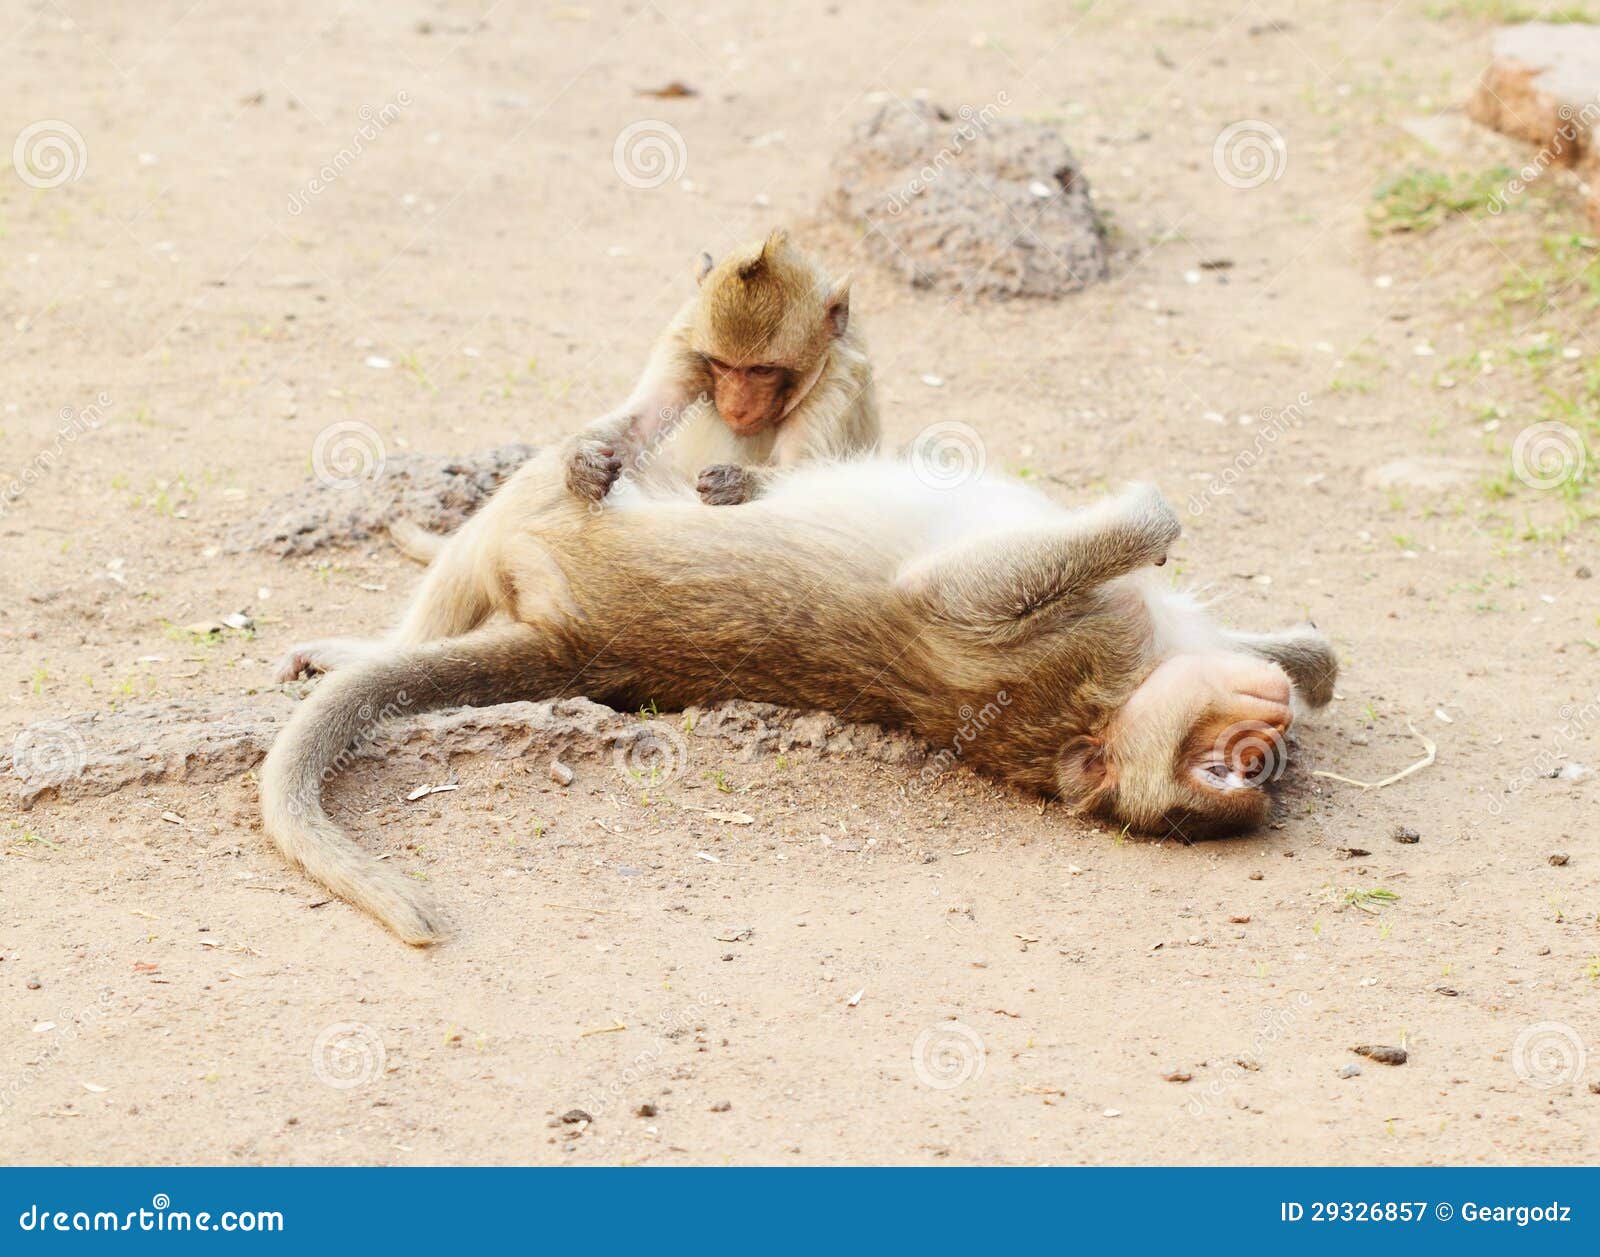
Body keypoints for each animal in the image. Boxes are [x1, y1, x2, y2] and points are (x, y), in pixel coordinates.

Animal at [261, 440, 1337, 944]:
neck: (1111, 703)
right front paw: (1306, 663)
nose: (1273, 738)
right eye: (1242, 760)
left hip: (547, 533)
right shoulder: (1096, 652)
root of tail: (577, 643)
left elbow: (949, 598)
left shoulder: (1060, 662)